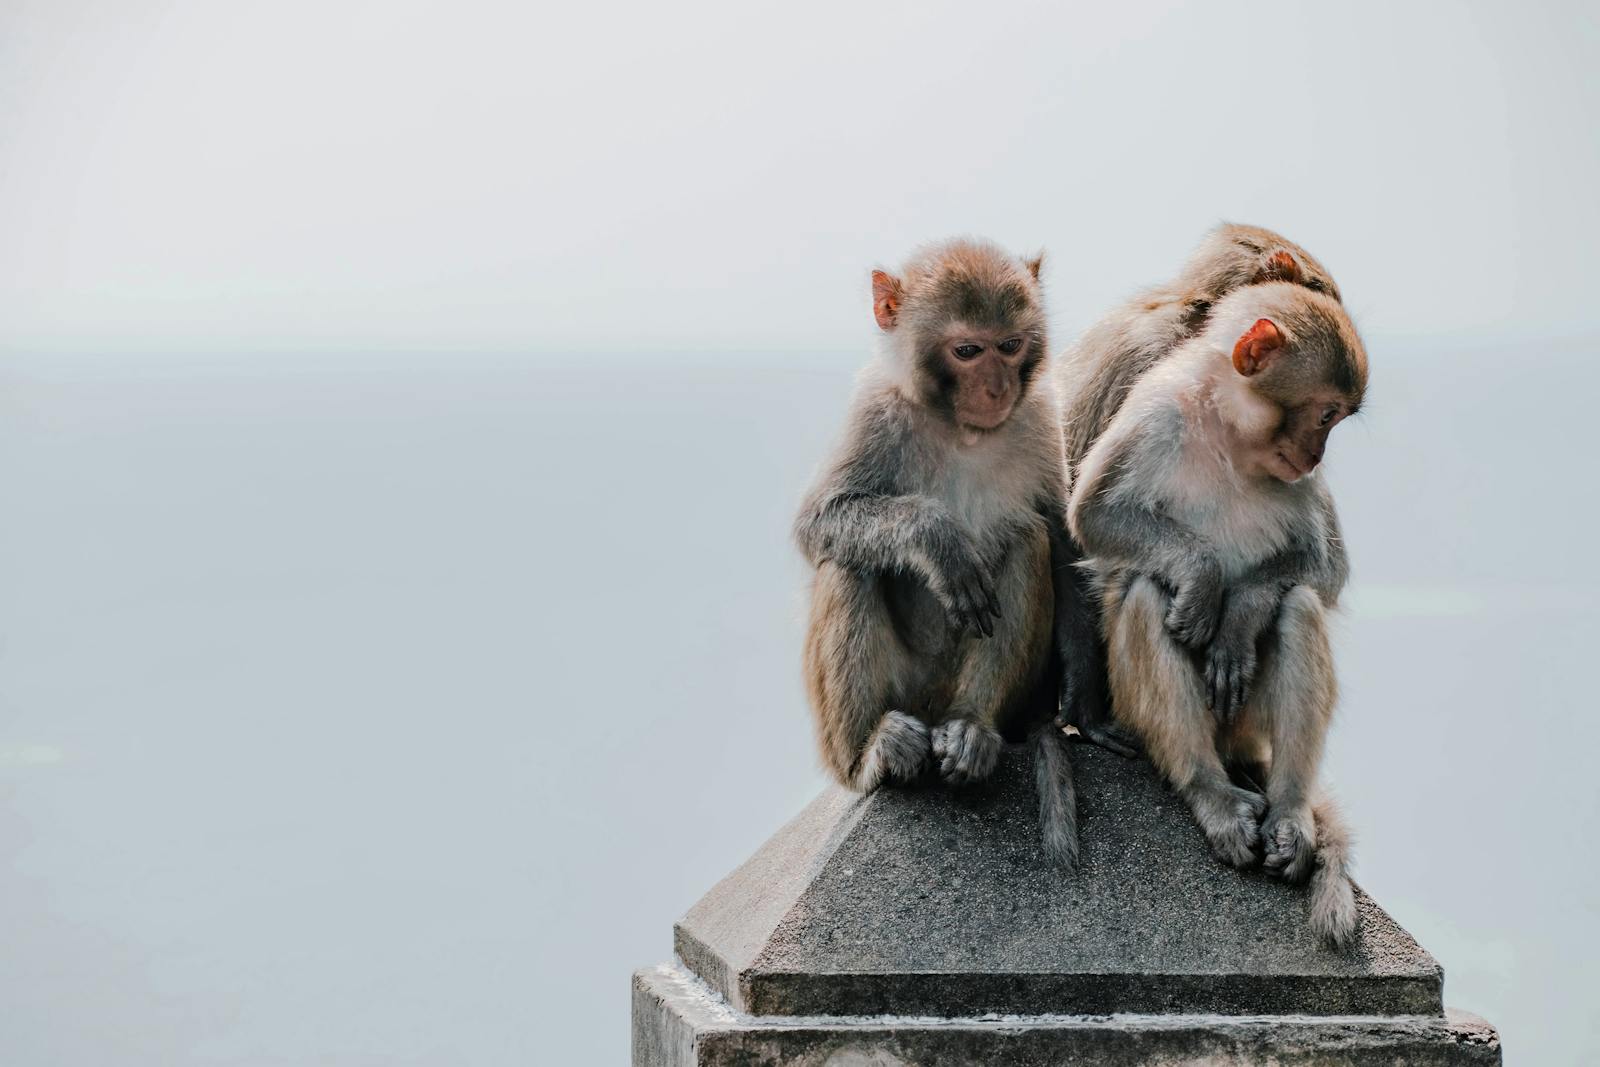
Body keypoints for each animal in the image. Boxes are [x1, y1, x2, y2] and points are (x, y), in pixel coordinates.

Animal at [793, 238, 1092, 868]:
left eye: (1010, 345)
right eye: (968, 351)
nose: (999, 388)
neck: (962, 429)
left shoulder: (1040, 415)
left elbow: (1057, 537)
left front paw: (1084, 694)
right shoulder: (874, 412)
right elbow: (820, 520)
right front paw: (937, 538)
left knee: (1026, 538)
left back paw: (972, 730)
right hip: (902, 690)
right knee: (849, 563)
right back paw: (870, 756)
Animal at [1067, 280, 1367, 945]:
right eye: (1327, 414)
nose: (1316, 453)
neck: (1232, 433)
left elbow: (1327, 568)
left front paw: (1240, 614)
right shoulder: (1155, 414)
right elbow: (1095, 515)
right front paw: (1204, 581)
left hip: (1246, 720)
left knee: (1298, 605)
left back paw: (1290, 811)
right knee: (1150, 595)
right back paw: (1211, 794)